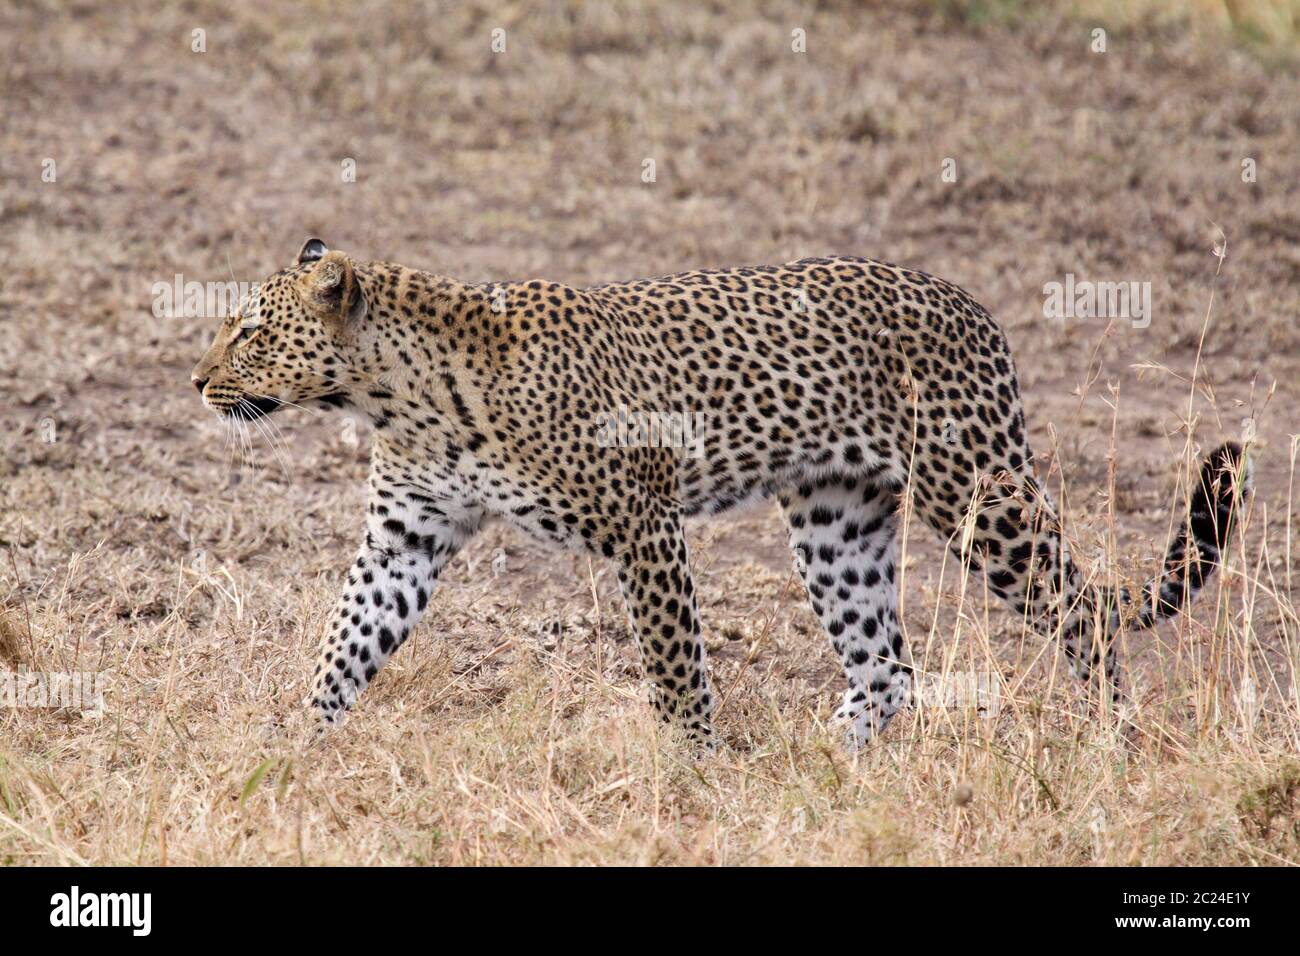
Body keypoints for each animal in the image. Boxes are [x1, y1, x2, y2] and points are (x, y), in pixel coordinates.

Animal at [191, 238, 1252, 747]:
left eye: (251, 332)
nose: (197, 381)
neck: (396, 394)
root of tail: (973, 304)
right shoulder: (405, 536)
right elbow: (346, 643)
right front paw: (292, 751)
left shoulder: (643, 526)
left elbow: (676, 673)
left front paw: (691, 778)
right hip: (836, 520)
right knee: (887, 667)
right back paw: (821, 770)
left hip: (979, 499)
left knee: (1084, 615)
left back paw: (1115, 748)